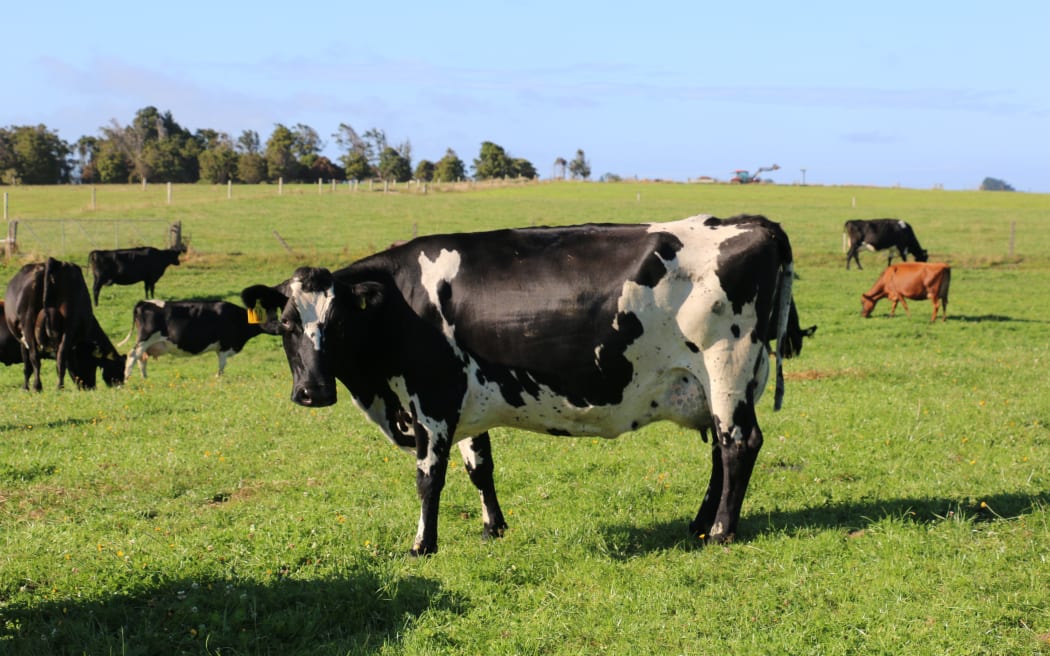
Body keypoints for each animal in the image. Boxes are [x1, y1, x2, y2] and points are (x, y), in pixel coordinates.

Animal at [4, 258, 125, 391]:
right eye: (119, 369)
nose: (90, 387)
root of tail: (53, 263)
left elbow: (27, 366)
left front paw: (25, 387)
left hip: (29, 324)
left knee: (36, 358)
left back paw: (40, 387)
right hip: (67, 326)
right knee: (57, 358)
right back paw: (57, 387)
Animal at [121, 299, 265, 380]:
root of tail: (143, 302)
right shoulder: (225, 345)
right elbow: (222, 364)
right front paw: (218, 377)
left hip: (148, 344)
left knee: (141, 358)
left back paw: (145, 377)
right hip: (145, 339)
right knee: (132, 354)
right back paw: (127, 377)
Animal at [242, 214, 815, 556]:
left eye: (337, 323)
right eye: (286, 326)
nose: (312, 392)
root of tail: (754, 223)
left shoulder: (432, 398)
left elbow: (429, 477)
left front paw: (422, 545)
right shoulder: (466, 397)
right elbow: (480, 466)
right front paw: (492, 527)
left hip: (727, 366)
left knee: (738, 444)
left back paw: (720, 532)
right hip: (718, 383)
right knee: (721, 447)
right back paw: (698, 523)